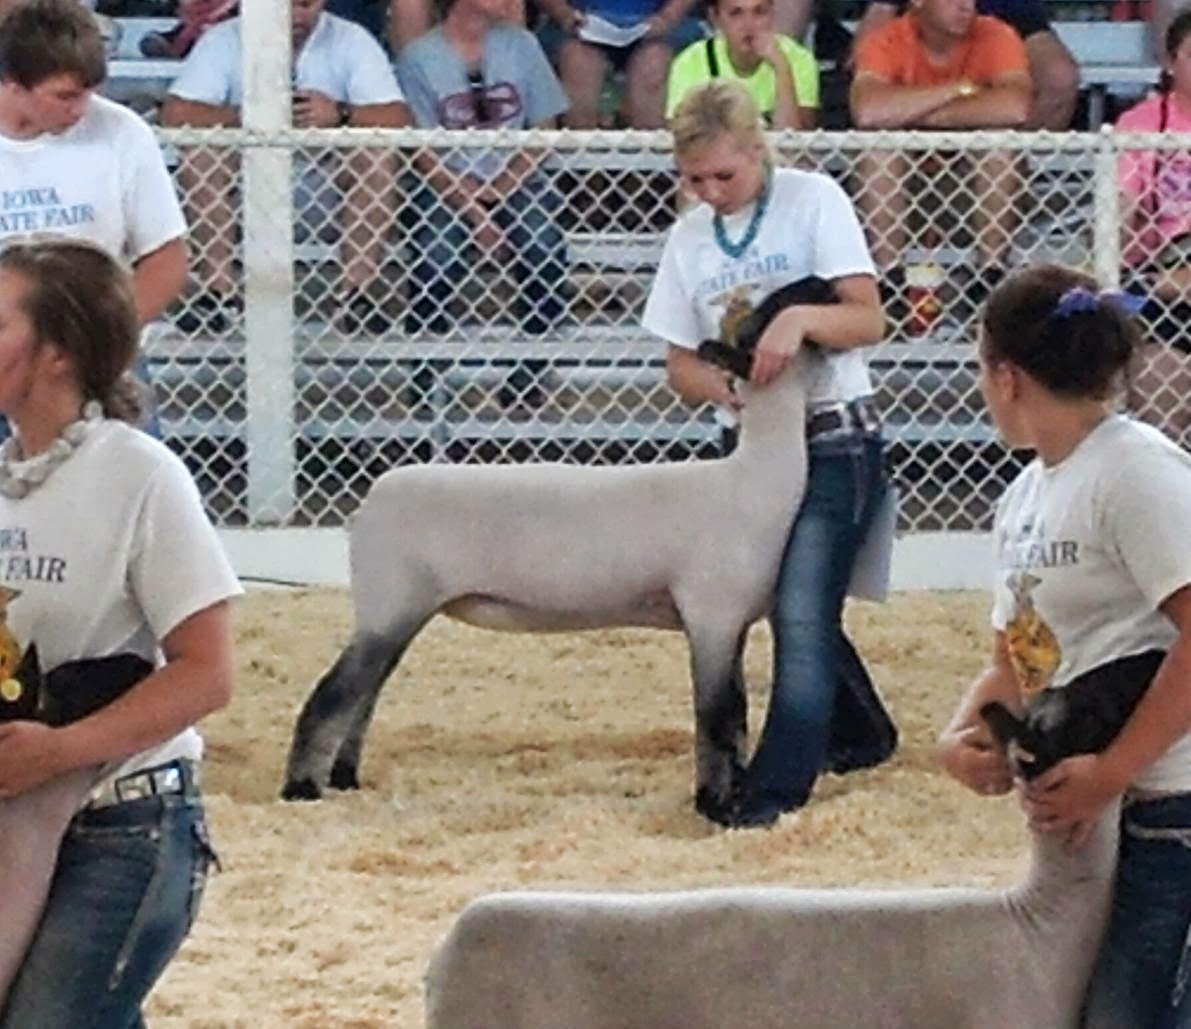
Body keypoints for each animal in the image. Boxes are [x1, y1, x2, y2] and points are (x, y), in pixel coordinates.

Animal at [282, 277, 844, 826]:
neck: (753, 480)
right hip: (391, 603)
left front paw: (729, 795)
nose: (829, 286)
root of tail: (373, 496)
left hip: (395, 610)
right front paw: (714, 804)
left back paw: (344, 778)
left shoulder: (733, 623)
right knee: (331, 698)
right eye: (777, 311)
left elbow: (736, 716)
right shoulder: (711, 615)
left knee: (362, 696)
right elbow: (717, 717)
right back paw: (301, 789)